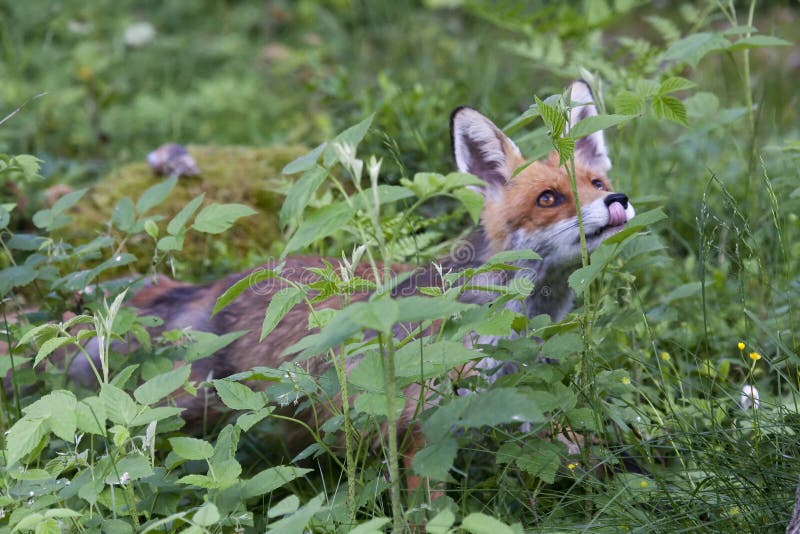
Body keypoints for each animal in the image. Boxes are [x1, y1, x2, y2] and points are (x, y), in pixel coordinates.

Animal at [68, 80, 634, 475]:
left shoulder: (527, 396)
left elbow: (572, 447)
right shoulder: (420, 425)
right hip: (188, 410)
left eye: (595, 182)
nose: (617, 199)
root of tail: (221, 284)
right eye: (548, 198)